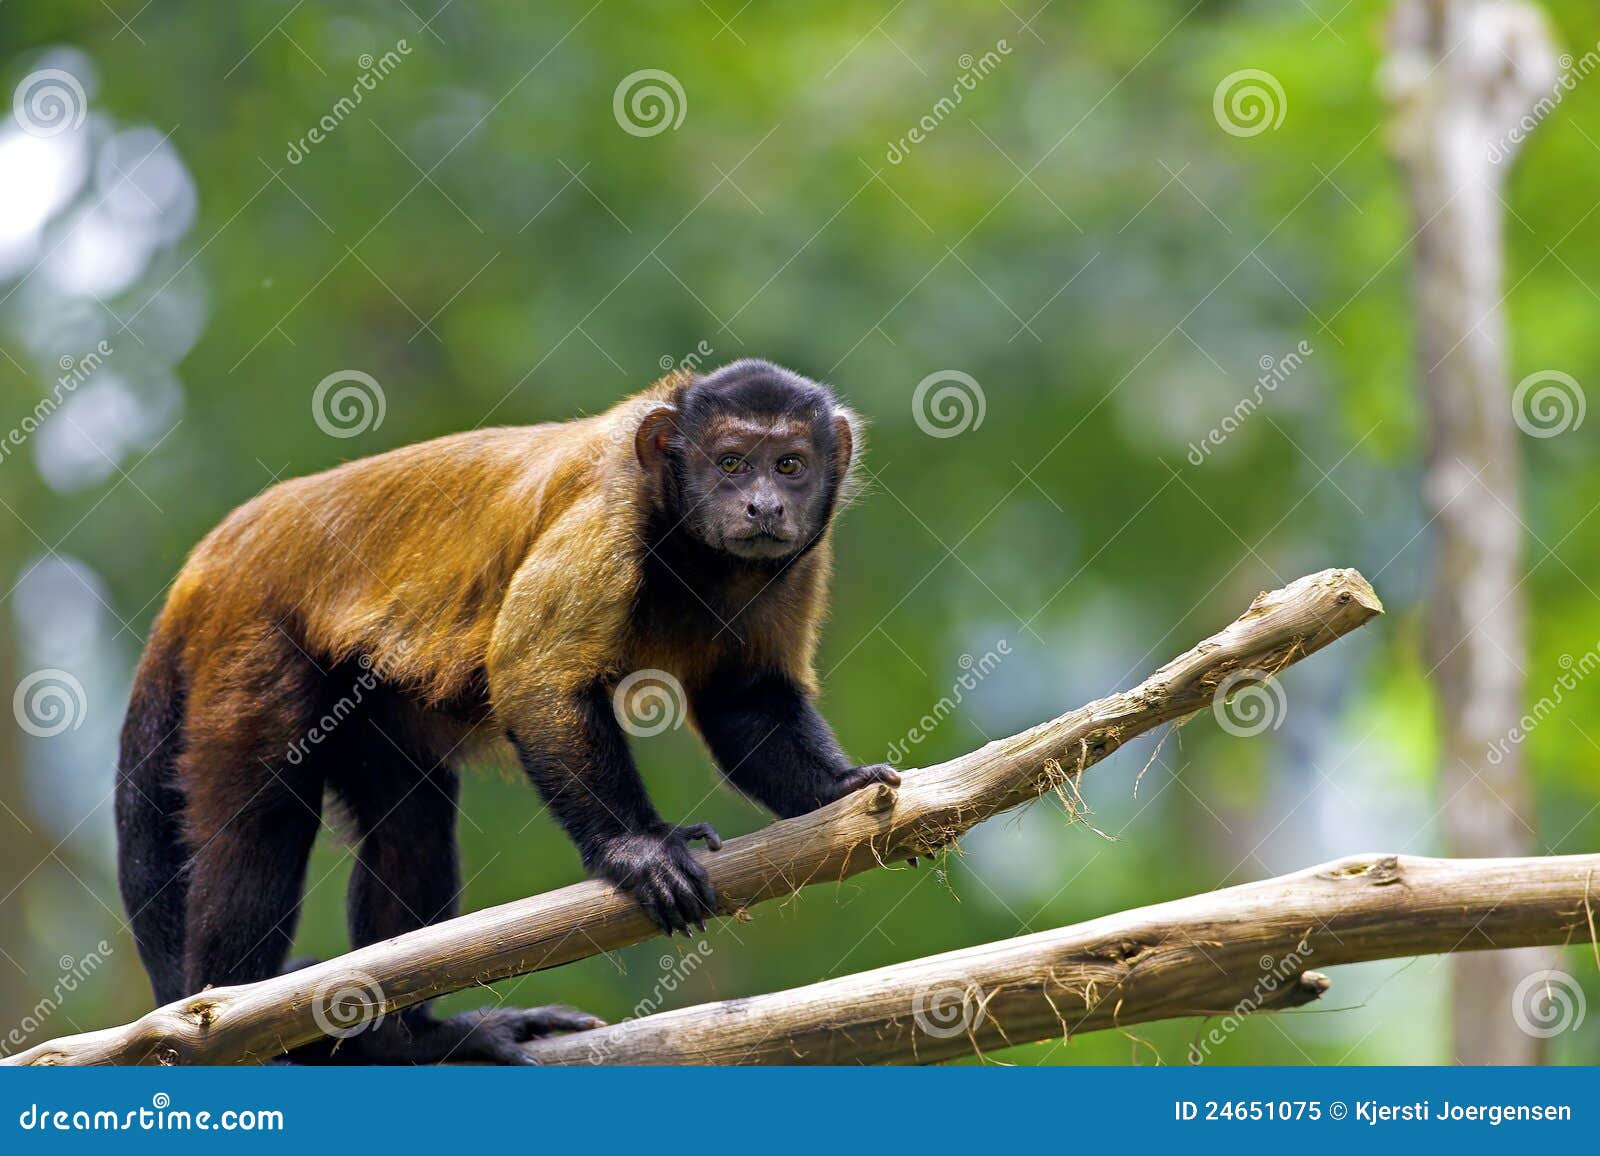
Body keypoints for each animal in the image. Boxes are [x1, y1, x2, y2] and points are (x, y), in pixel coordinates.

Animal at [114, 358, 899, 1064]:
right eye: (732, 463)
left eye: (790, 465)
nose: (764, 504)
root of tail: (217, 556)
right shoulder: (609, 515)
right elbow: (533, 678)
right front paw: (639, 850)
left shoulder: (798, 558)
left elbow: (746, 702)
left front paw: (838, 789)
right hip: (252, 638)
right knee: (263, 822)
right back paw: (237, 1017)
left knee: (410, 822)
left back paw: (408, 1041)